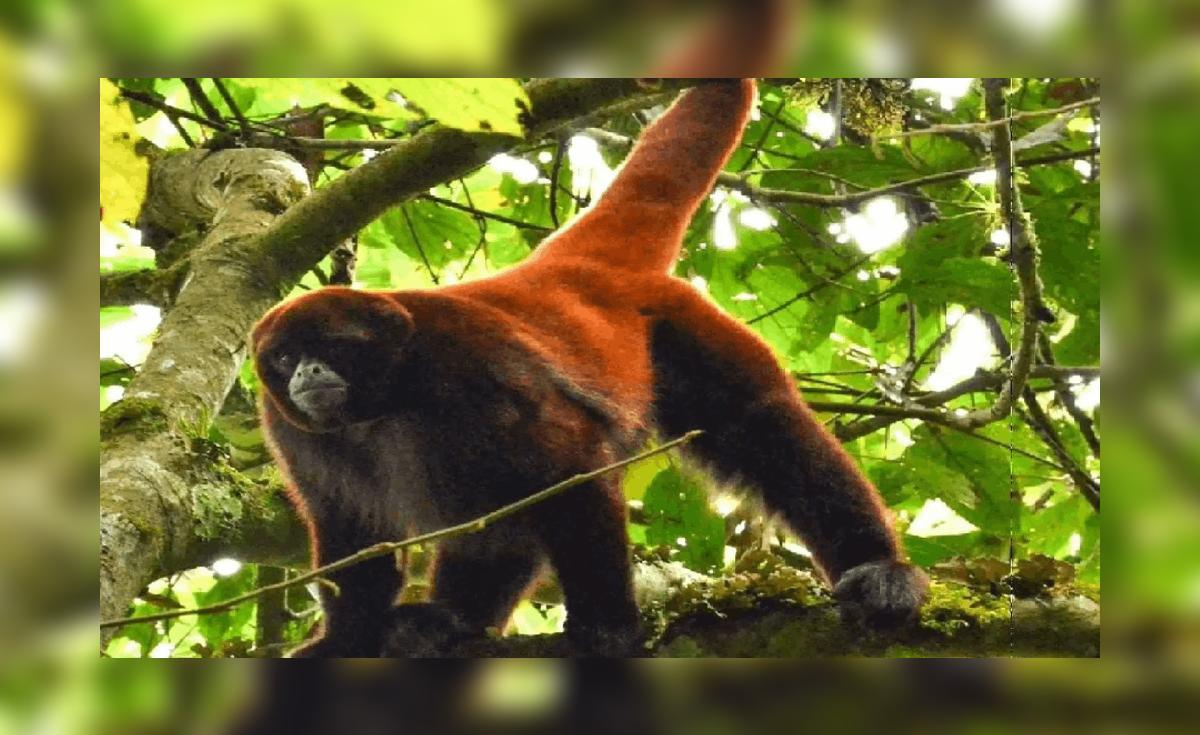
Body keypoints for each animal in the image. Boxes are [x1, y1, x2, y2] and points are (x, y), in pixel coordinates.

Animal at [251, 79, 928, 658]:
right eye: (283, 358)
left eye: (330, 344)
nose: (305, 374)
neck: (388, 399)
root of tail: (567, 269)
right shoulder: (290, 430)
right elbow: (352, 530)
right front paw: (347, 640)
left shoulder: (467, 368)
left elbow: (568, 464)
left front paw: (608, 627)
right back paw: (445, 626)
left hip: (677, 324)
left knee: (761, 425)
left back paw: (881, 570)